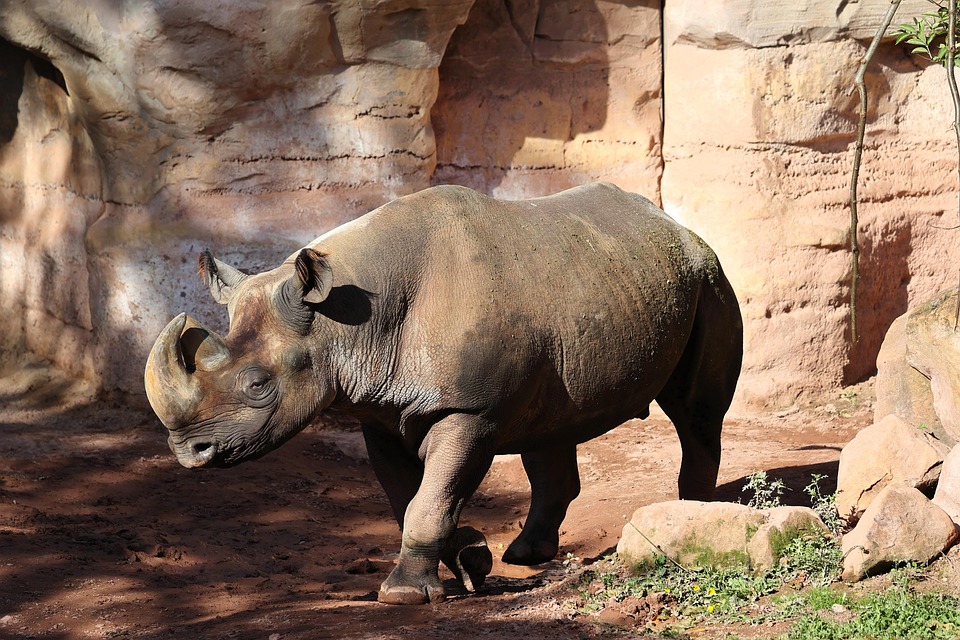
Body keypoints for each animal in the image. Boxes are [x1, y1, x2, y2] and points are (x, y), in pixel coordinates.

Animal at [144, 182, 742, 605]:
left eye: (258, 386)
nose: (188, 452)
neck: (343, 325)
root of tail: (674, 224)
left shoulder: (470, 410)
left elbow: (428, 498)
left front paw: (406, 595)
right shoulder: (379, 412)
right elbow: (409, 495)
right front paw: (470, 558)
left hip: (707, 277)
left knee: (696, 413)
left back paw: (691, 514)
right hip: (594, 288)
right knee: (551, 425)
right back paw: (525, 556)